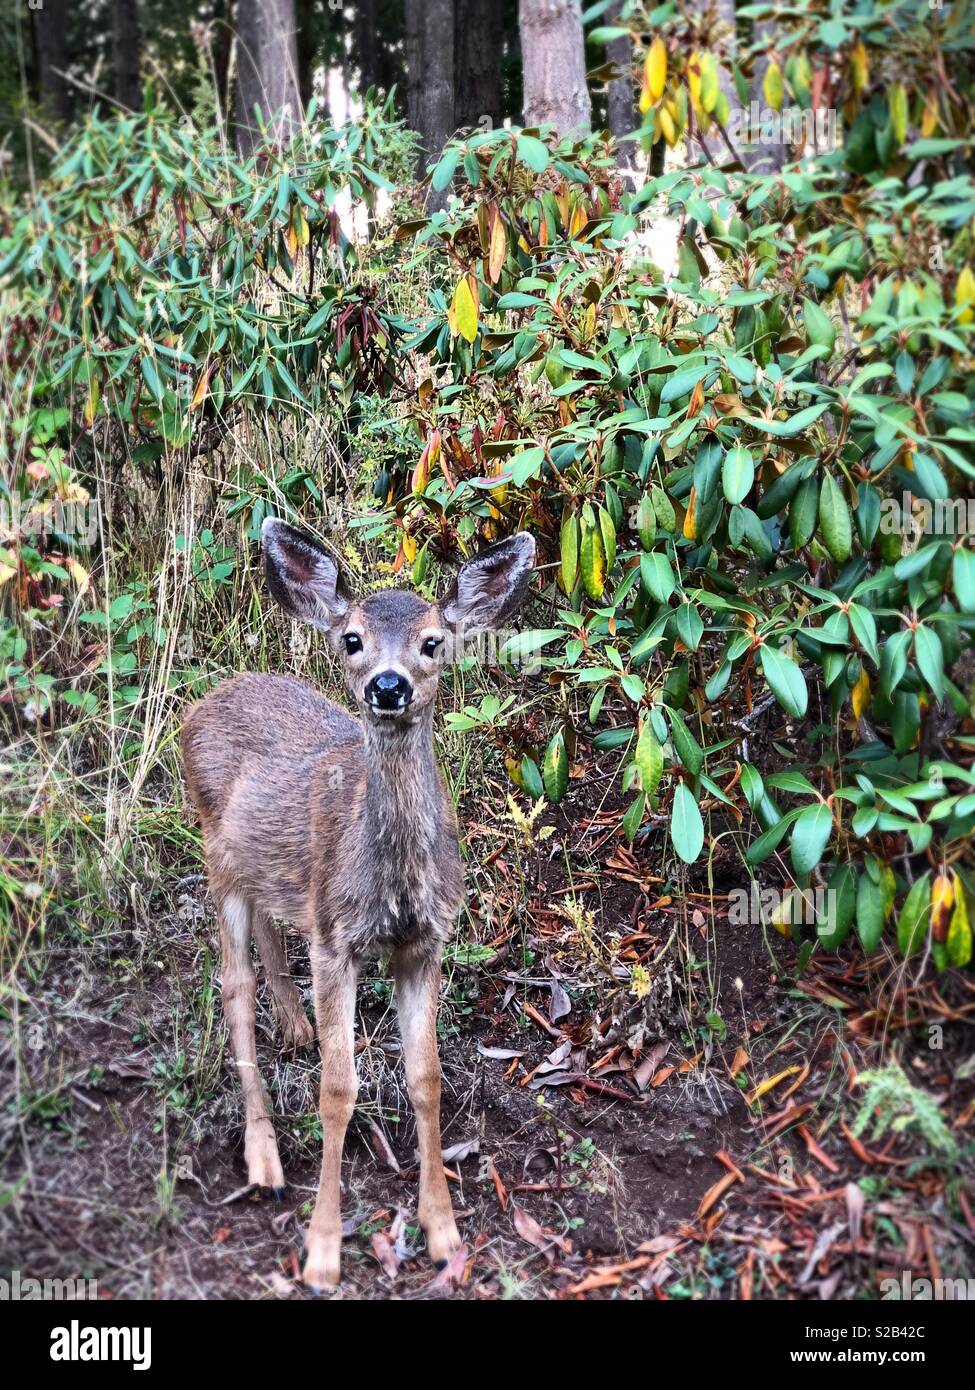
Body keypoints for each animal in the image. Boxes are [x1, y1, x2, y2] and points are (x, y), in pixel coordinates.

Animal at [181, 519, 536, 1289]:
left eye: (432, 641)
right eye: (351, 638)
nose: (388, 684)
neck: (391, 881)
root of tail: (206, 698)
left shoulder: (425, 942)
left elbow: (426, 1078)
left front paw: (443, 1232)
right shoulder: (337, 937)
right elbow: (338, 1089)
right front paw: (320, 1251)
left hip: (270, 873)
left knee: (268, 929)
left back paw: (295, 1025)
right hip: (217, 855)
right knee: (233, 988)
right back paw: (264, 1159)